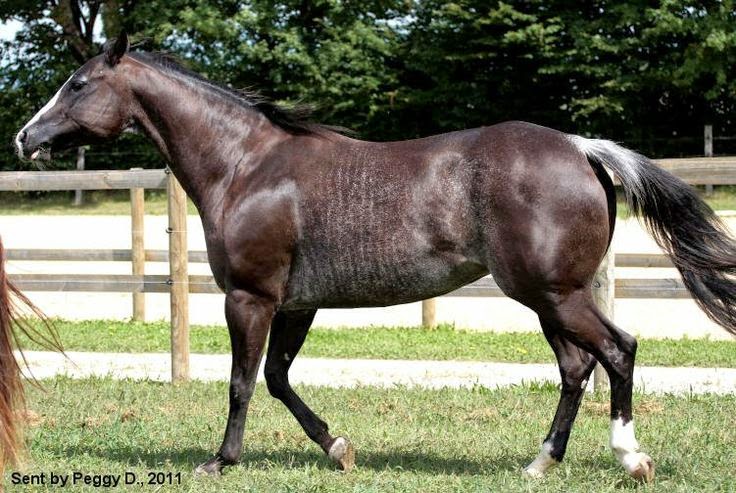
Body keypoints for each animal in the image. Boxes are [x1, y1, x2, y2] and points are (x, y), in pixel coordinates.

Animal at [10, 32, 736, 482]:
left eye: (78, 84)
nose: (24, 137)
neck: (245, 166)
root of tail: (582, 147)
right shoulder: (297, 304)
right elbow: (278, 378)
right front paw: (339, 448)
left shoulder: (251, 296)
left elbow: (243, 380)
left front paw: (220, 461)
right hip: (547, 297)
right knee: (575, 367)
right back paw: (540, 463)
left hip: (554, 292)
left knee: (617, 350)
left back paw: (631, 458)